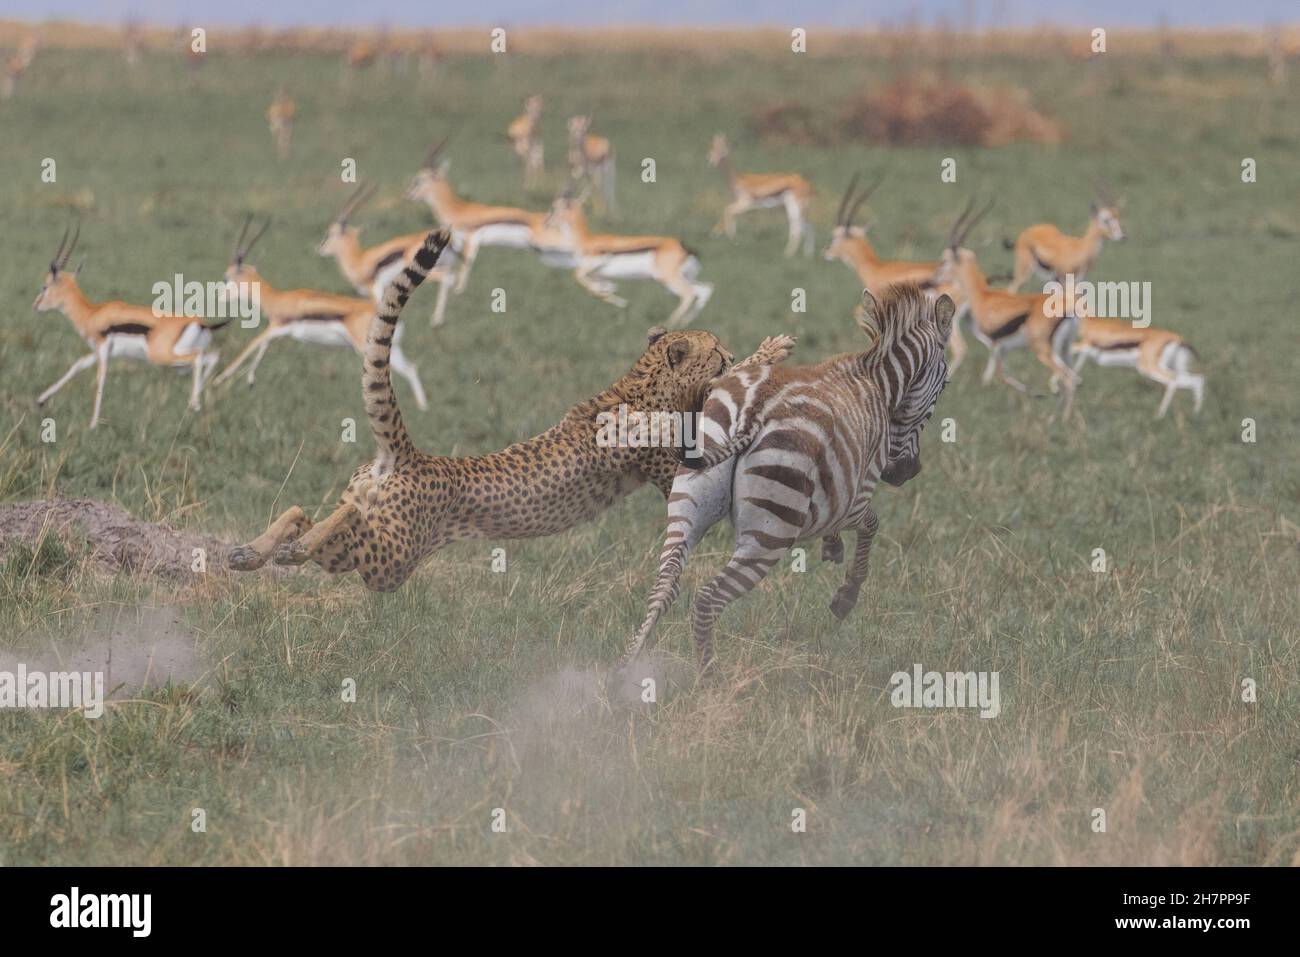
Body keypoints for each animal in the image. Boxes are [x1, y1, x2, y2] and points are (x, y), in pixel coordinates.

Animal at [227, 230, 795, 591]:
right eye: (716, 349)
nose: (728, 349)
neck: (642, 379)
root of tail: (408, 456)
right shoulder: (673, 464)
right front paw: (766, 351)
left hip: (371, 552)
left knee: (306, 512)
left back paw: (254, 552)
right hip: (389, 559)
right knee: (338, 519)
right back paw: (283, 550)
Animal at [618, 282, 955, 675]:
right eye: (945, 386)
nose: (904, 473)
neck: (877, 383)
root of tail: (751, 414)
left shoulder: (833, 493)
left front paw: (832, 549)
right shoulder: (854, 495)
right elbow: (871, 524)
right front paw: (845, 596)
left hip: (687, 505)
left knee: (664, 586)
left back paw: (623, 672)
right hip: (770, 533)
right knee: (707, 600)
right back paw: (708, 678)